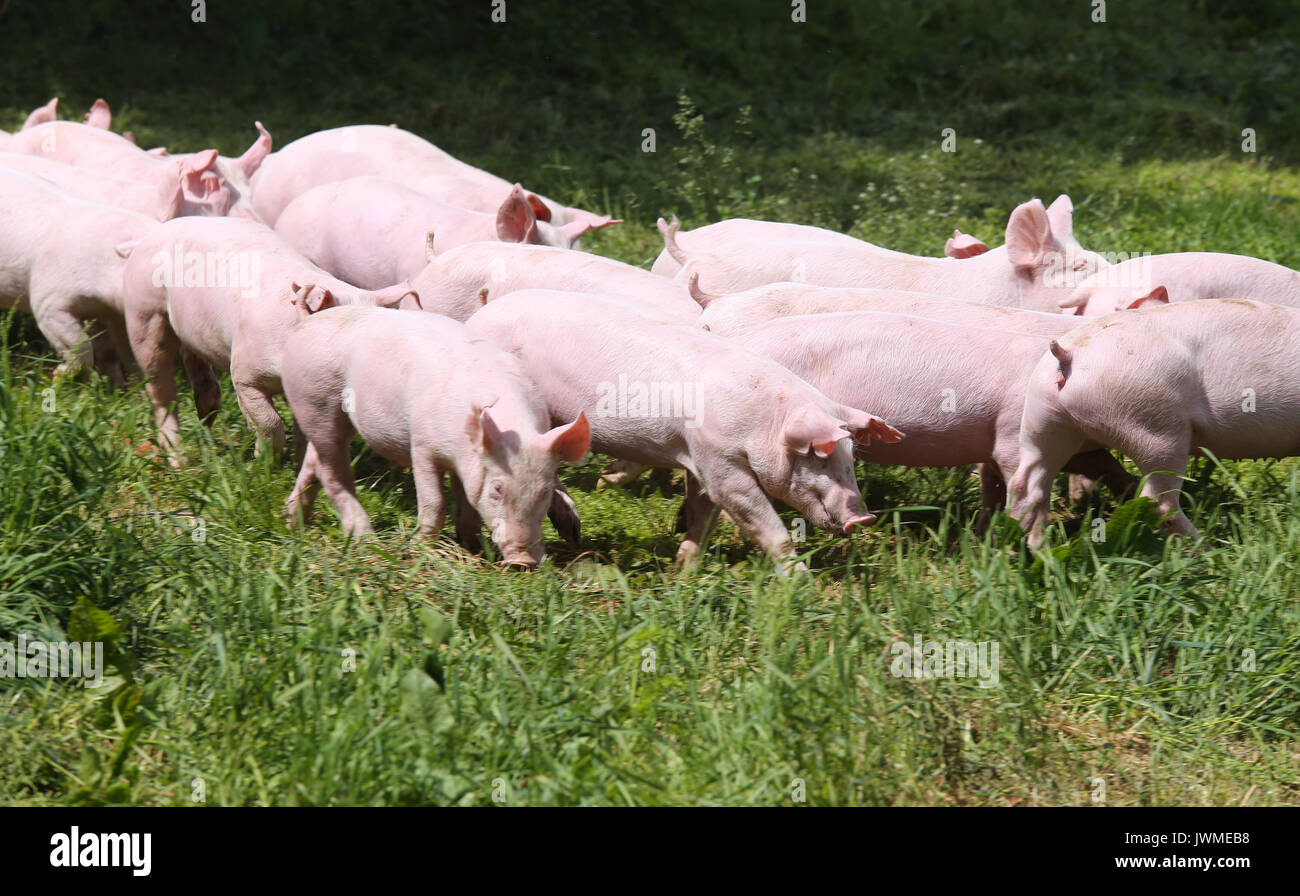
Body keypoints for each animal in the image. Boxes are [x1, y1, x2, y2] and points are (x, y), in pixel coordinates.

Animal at [0, 169, 161, 384]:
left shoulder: (118, 314)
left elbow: (130, 350)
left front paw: (136, 388)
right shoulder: (48, 301)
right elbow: (80, 343)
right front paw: (59, 376)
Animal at [117, 217, 419, 460]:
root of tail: (150, 236)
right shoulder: (243, 371)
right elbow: (269, 421)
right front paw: (263, 462)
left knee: (193, 361)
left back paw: (207, 418)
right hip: (143, 310)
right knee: (161, 387)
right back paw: (178, 459)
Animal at [282, 306, 590, 567]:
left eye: (544, 492)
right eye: (497, 489)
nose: (522, 561)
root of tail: (302, 327)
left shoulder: (468, 465)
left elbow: (467, 502)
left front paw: (472, 546)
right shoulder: (422, 447)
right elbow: (435, 502)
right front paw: (419, 548)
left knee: (314, 462)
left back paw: (292, 522)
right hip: (315, 402)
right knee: (333, 472)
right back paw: (365, 538)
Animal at [466, 291, 902, 570]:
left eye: (851, 459)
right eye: (819, 457)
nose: (864, 517)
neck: (763, 420)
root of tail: (480, 314)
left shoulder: (699, 459)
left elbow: (702, 513)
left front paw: (684, 567)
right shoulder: (719, 459)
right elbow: (753, 516)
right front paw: (798, 581)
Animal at [1011, 299, 1300, 548]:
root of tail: (1068, 355)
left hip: (1043, 418)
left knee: (1027, 483)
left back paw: (1039, 550)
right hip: (1154, 426)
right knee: (1158, 501)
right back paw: (1207, 551)